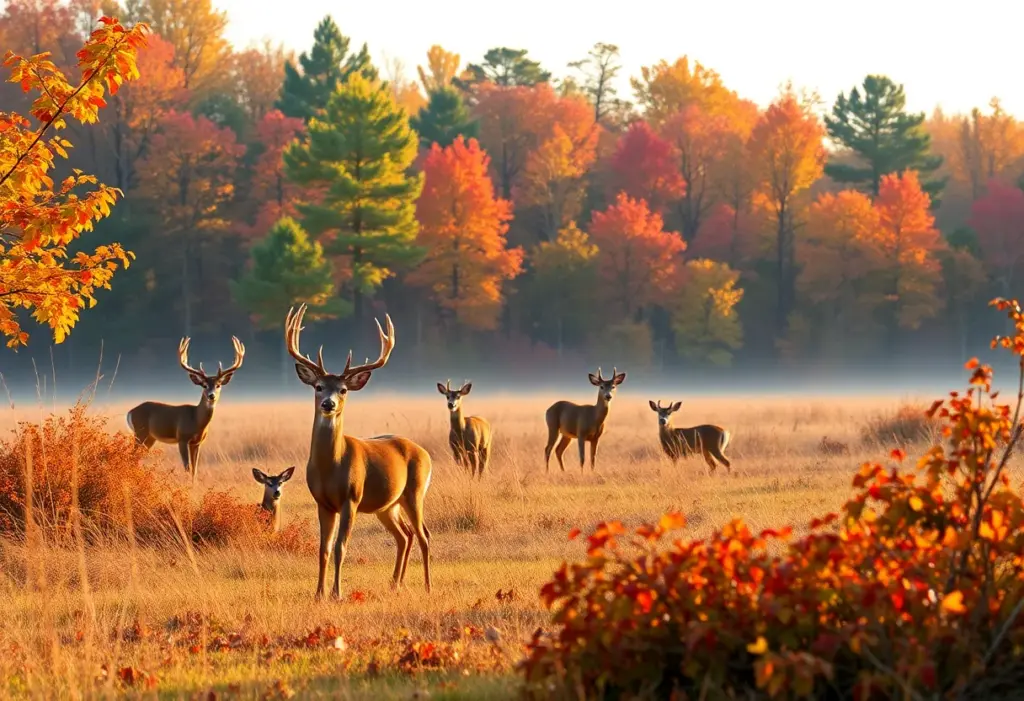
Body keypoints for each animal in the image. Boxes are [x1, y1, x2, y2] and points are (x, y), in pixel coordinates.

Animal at [125, 336, 245, 485]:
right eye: (204, 385)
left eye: (218, 385)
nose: (211, 396)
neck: (196, 419)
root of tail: (130, 412)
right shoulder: (182, 438)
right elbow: (187, 468)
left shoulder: (197, 442)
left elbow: (195, 469)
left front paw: (194, 486)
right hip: (140, 433)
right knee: (131, 457)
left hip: (150, 437)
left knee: (136, 458)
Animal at [284, 304, 433, 601]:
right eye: (318, 387)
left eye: (343, 389)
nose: (328, 404)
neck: (331, 467)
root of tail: (424, 452)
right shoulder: (322, 502)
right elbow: (323, 549)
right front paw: (318, 594)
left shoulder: (351, 498)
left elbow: (341, 547)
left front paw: (337, 593)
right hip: (387, 505)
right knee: (405, 535)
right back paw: (396, 583)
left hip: (414, 491)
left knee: (423, 534)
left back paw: (427, 586)